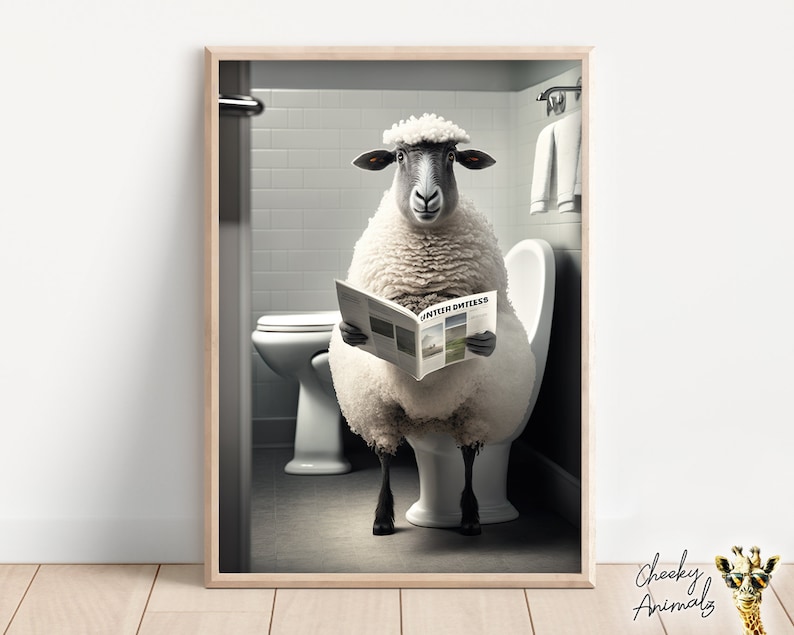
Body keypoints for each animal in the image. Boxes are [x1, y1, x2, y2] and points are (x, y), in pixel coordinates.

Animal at [328, 113, 535, 536]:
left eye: (452, 155)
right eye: (399, 156)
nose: (425, 198)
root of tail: (428, 419)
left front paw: (483, 341)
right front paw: (351, 332)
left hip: (476, 407)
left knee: (469, 454)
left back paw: (470, 518)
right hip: (378, 409)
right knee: (386, 454)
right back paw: (382, 518)